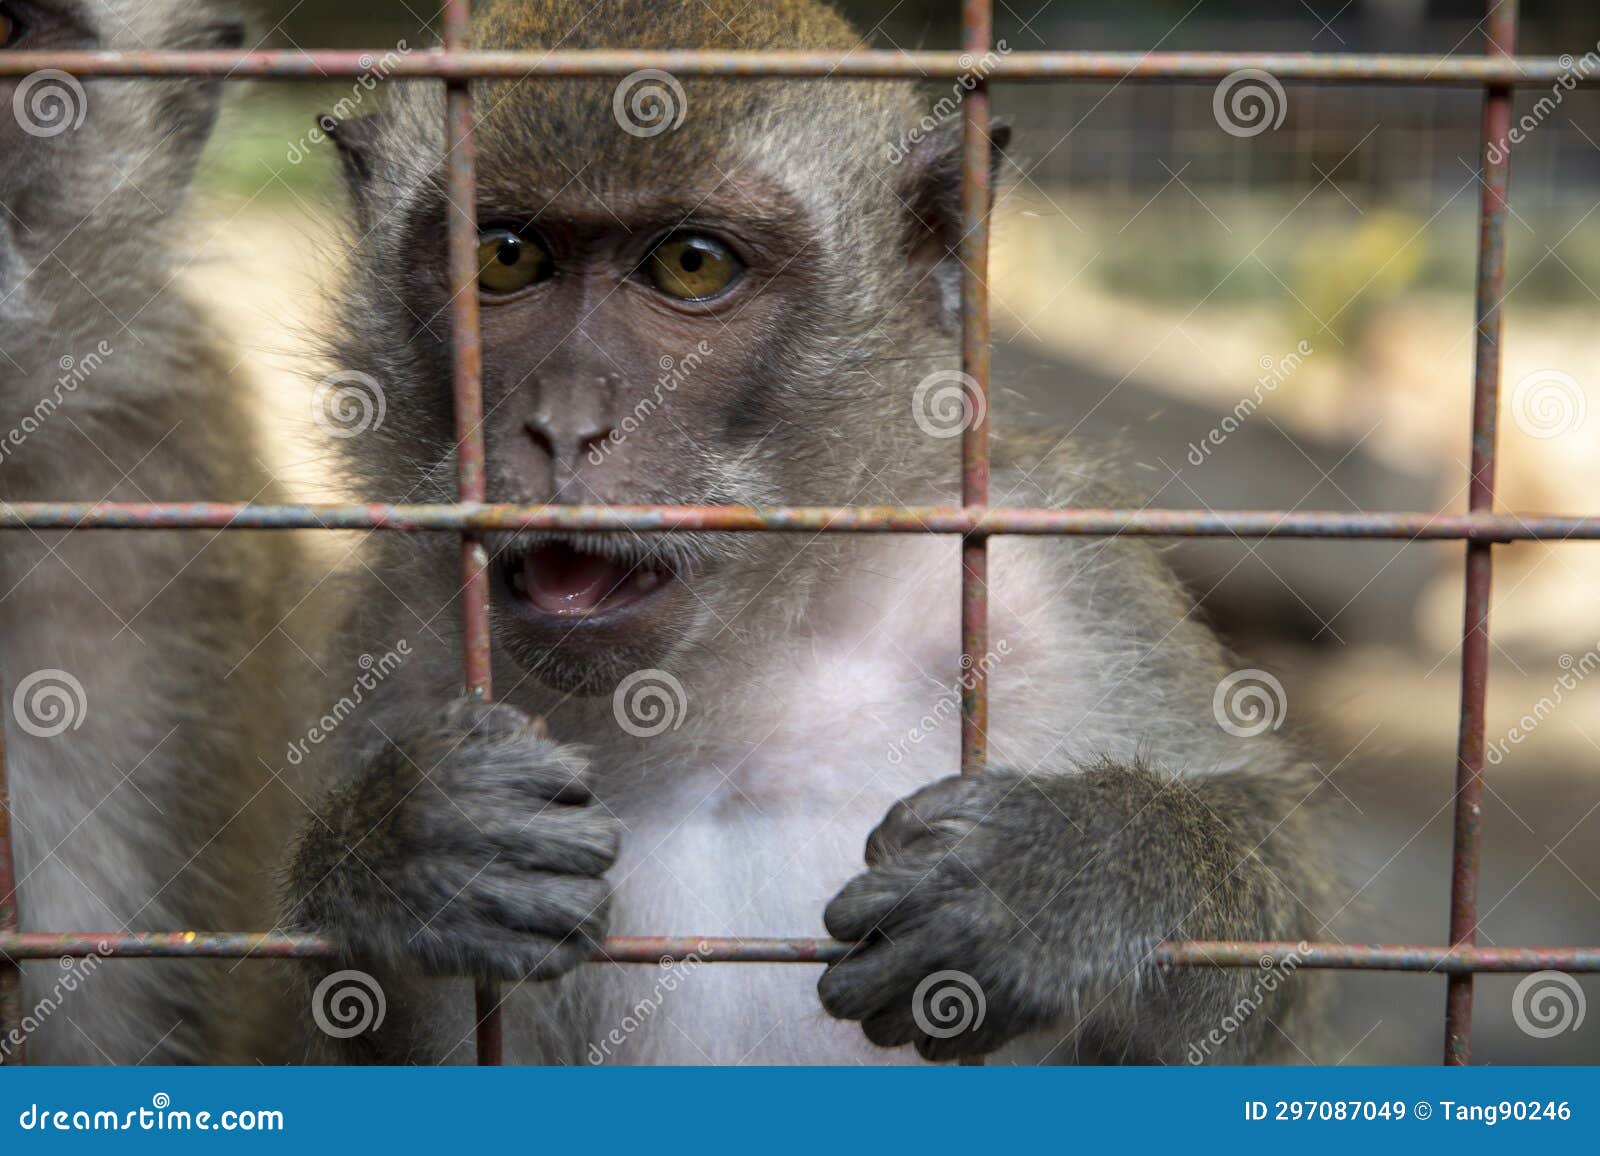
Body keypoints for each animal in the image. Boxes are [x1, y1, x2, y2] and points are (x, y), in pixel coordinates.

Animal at [286, 0, 1336, 1065]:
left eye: (691, 265)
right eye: (506, 256)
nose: (565, 426)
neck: (725, 689)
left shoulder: (1055, 579)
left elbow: (1271, 942)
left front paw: (1066, 875)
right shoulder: (401, 636)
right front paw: (407, 845)